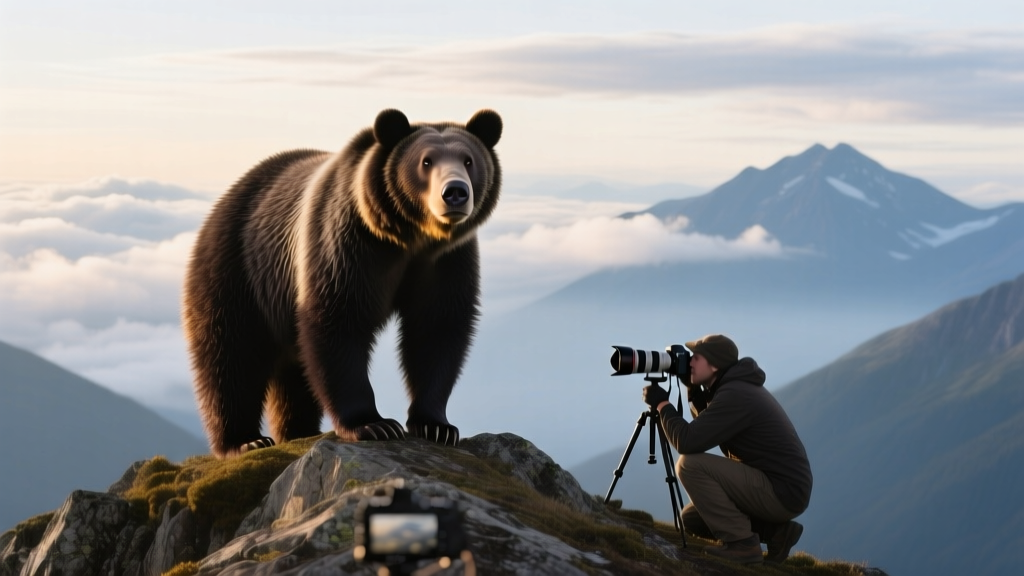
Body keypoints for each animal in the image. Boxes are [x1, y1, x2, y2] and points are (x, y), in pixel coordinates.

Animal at [182, 109, 502, 458]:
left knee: (293, 371)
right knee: (231, 354)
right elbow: (339, 320)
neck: (409, 236)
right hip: (238, 269)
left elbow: (437, 327)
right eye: (426, 161)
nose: (455, 192)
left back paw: (298, 430)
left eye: (469, 160)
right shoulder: (348, 242)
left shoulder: (447, 260)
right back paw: (245, 440)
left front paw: (436, 426)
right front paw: (374, 424)